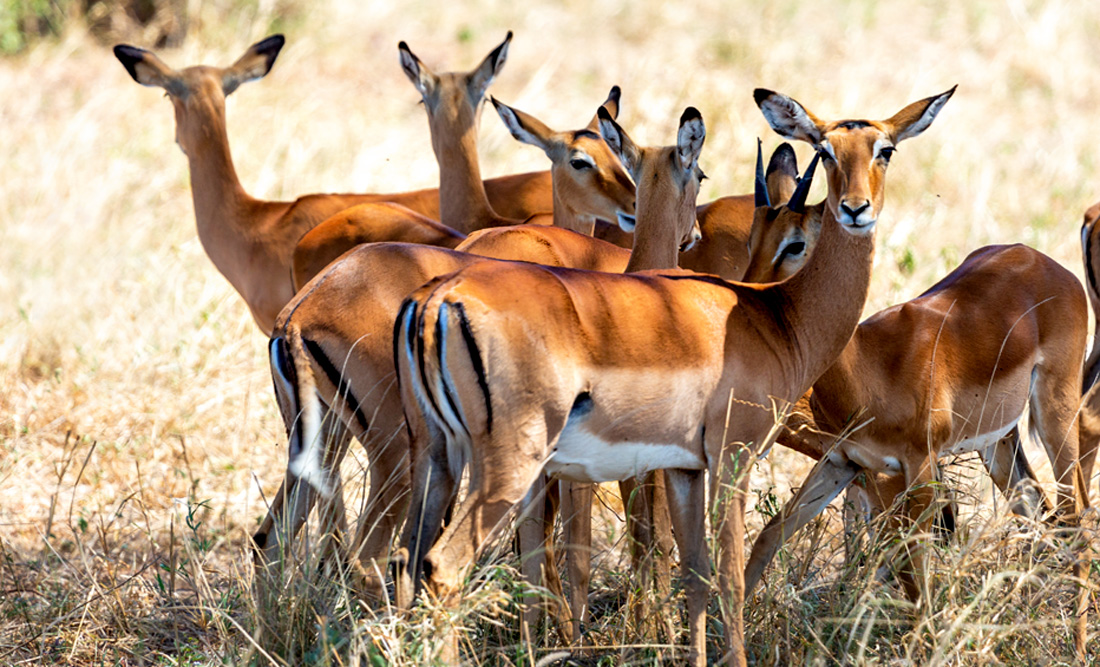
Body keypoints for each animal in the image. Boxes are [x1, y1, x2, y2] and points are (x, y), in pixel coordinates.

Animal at [254, 95, 641, 608]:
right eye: (581, 161)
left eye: (618, 156)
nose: (633, 208)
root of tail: (297, 317)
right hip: (393, 452)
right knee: (367, 559)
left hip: (319, 442)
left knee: (269, 541)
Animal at [390, 88, 954, 666]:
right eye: (826, 150)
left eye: (884, 149)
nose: (856, 209)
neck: (774, 317)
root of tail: (436, 299)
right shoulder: (733, 459)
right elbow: (730, 574)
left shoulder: (684, 467)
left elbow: (696, 574)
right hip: (509, 466)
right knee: (445, 567)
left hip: (437, 458)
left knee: (408, 562)